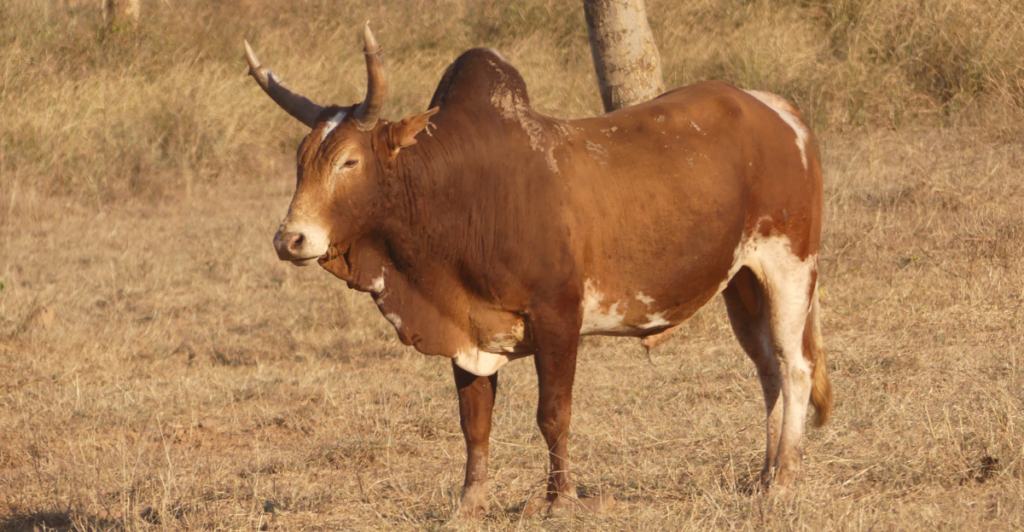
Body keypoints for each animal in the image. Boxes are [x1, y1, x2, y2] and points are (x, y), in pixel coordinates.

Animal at [244, 23, 832, 517]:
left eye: (349, 161)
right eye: (301, 160)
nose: (290, 239)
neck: (462, 192)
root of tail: (775, 108)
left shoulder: (557, 319)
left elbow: (553, 414)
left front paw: (559, 500)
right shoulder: (471, 329)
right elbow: (474, 422)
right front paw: (470, 504)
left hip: (789, 265)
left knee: (794, 366)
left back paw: (784, 480)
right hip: (742, 283)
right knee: (767, 369)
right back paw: (763, 474)